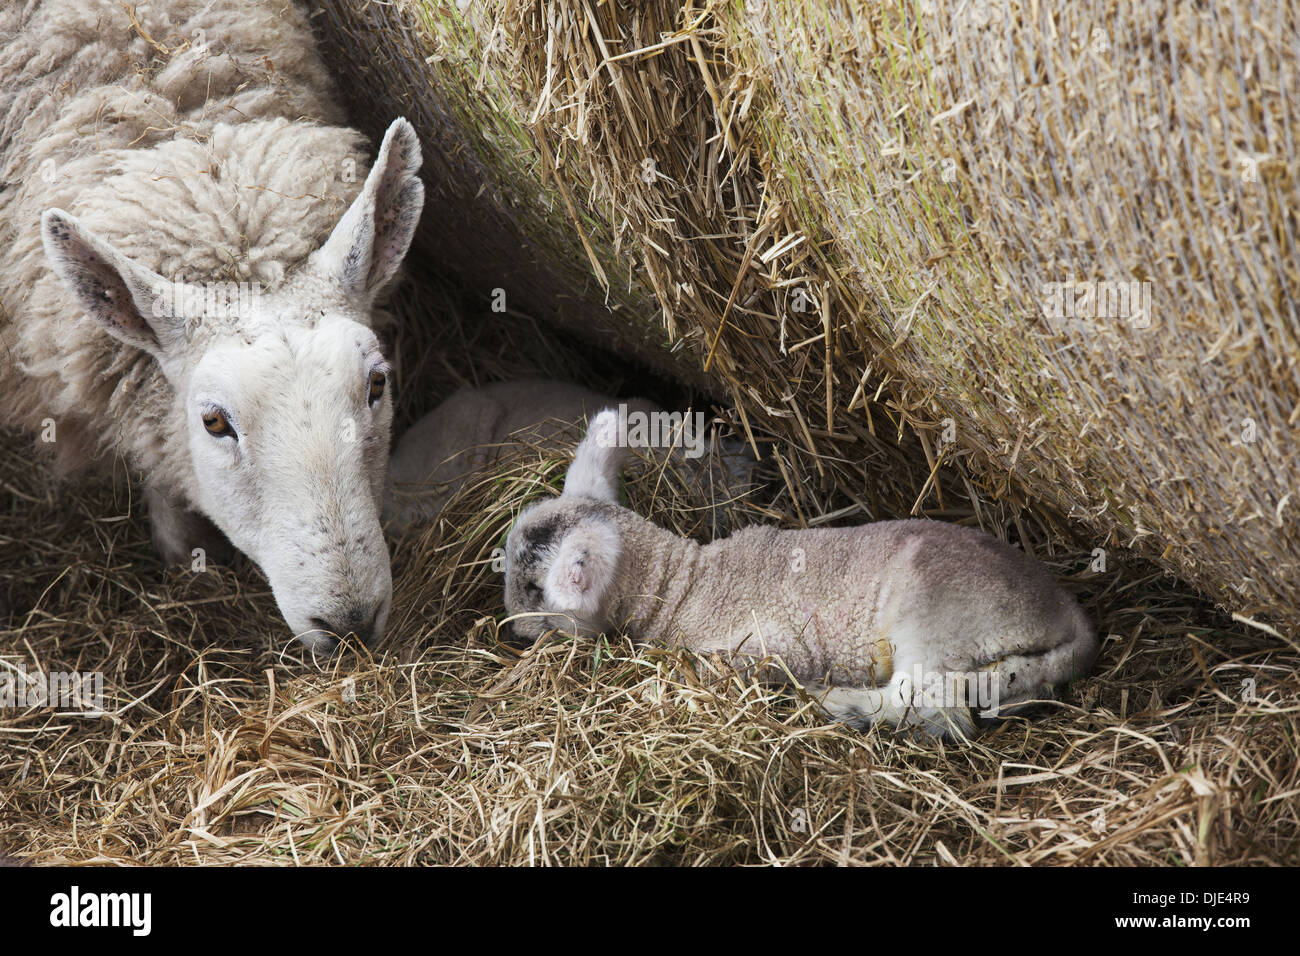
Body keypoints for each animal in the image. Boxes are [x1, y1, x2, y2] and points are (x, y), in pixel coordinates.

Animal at [504, 410, 1099, 738]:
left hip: (939, 623)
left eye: (536, 592)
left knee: (937, 712)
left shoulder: (758, 648)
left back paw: (837, 703)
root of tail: (1070, 618)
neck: (686, 587)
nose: (513, 634)